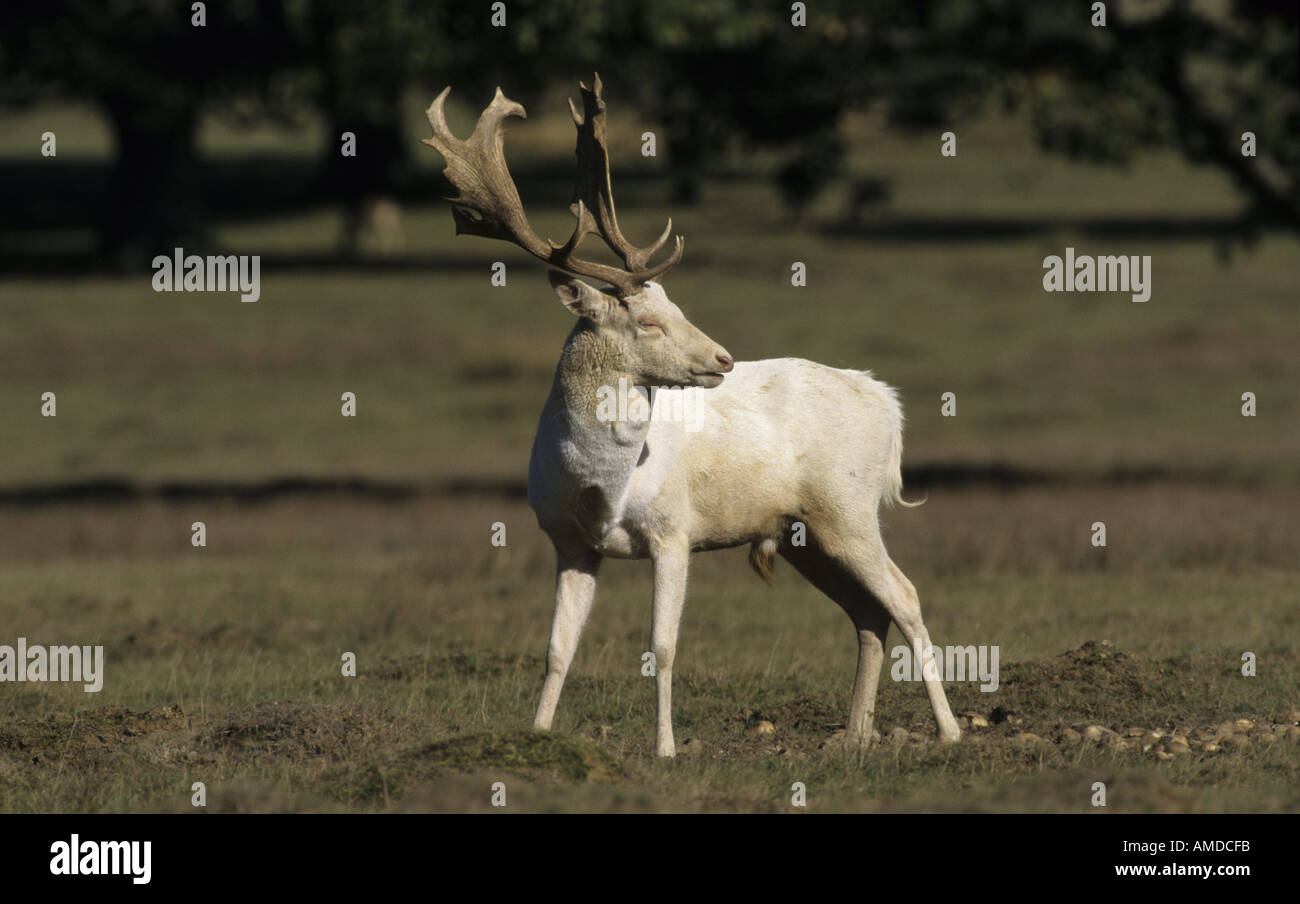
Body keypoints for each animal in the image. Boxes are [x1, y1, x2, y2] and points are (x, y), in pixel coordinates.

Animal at [423, 76, 962, 758]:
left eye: (678, 307)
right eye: (650, 321)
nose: (722, 358)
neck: (600, 486)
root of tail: (885, 400)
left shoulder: (673, 531)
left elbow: (663, 646)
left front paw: (665, 749)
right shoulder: (568, 541)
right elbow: (556, 649)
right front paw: (538, 737)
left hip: (848, 508)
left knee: (906, 596)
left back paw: (948, 732)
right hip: (801, 531)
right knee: (868, 611)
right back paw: (852, 737)